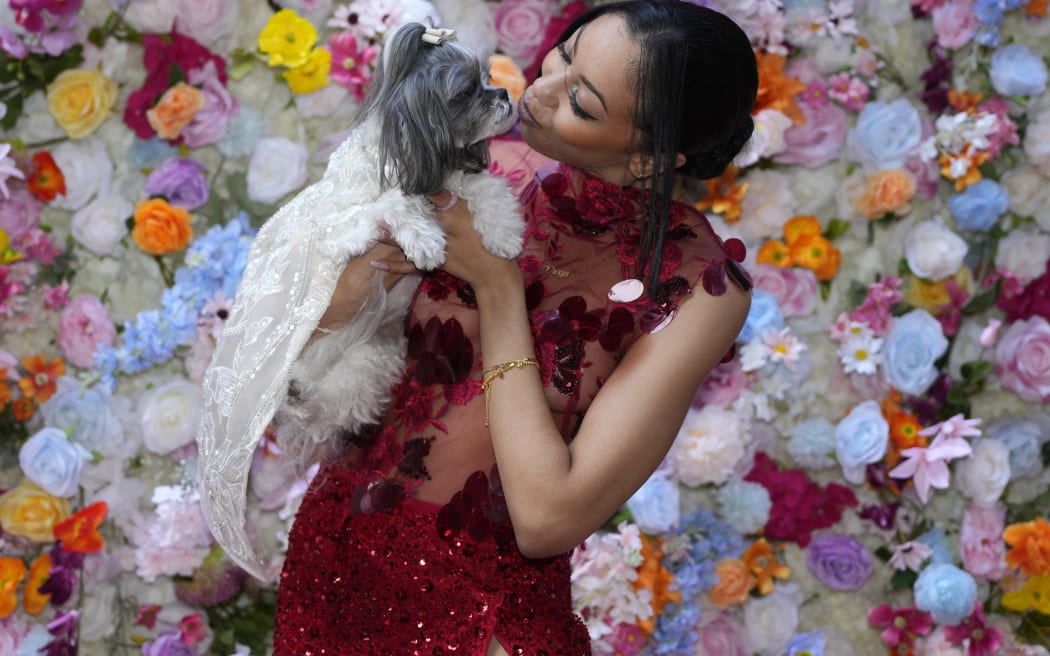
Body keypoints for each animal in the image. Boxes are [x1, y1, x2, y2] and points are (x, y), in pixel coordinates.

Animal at [196, 24, 520, 579]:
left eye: (487, 78)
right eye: (466, 91)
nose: (503, 94)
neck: (412, 161)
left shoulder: (457, 181)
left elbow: (486, 189)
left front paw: (503, 232)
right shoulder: (336, 228)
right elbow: (391, 205)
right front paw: (423, 237)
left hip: (370, 362)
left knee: (331, 409)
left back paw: (305, 400)